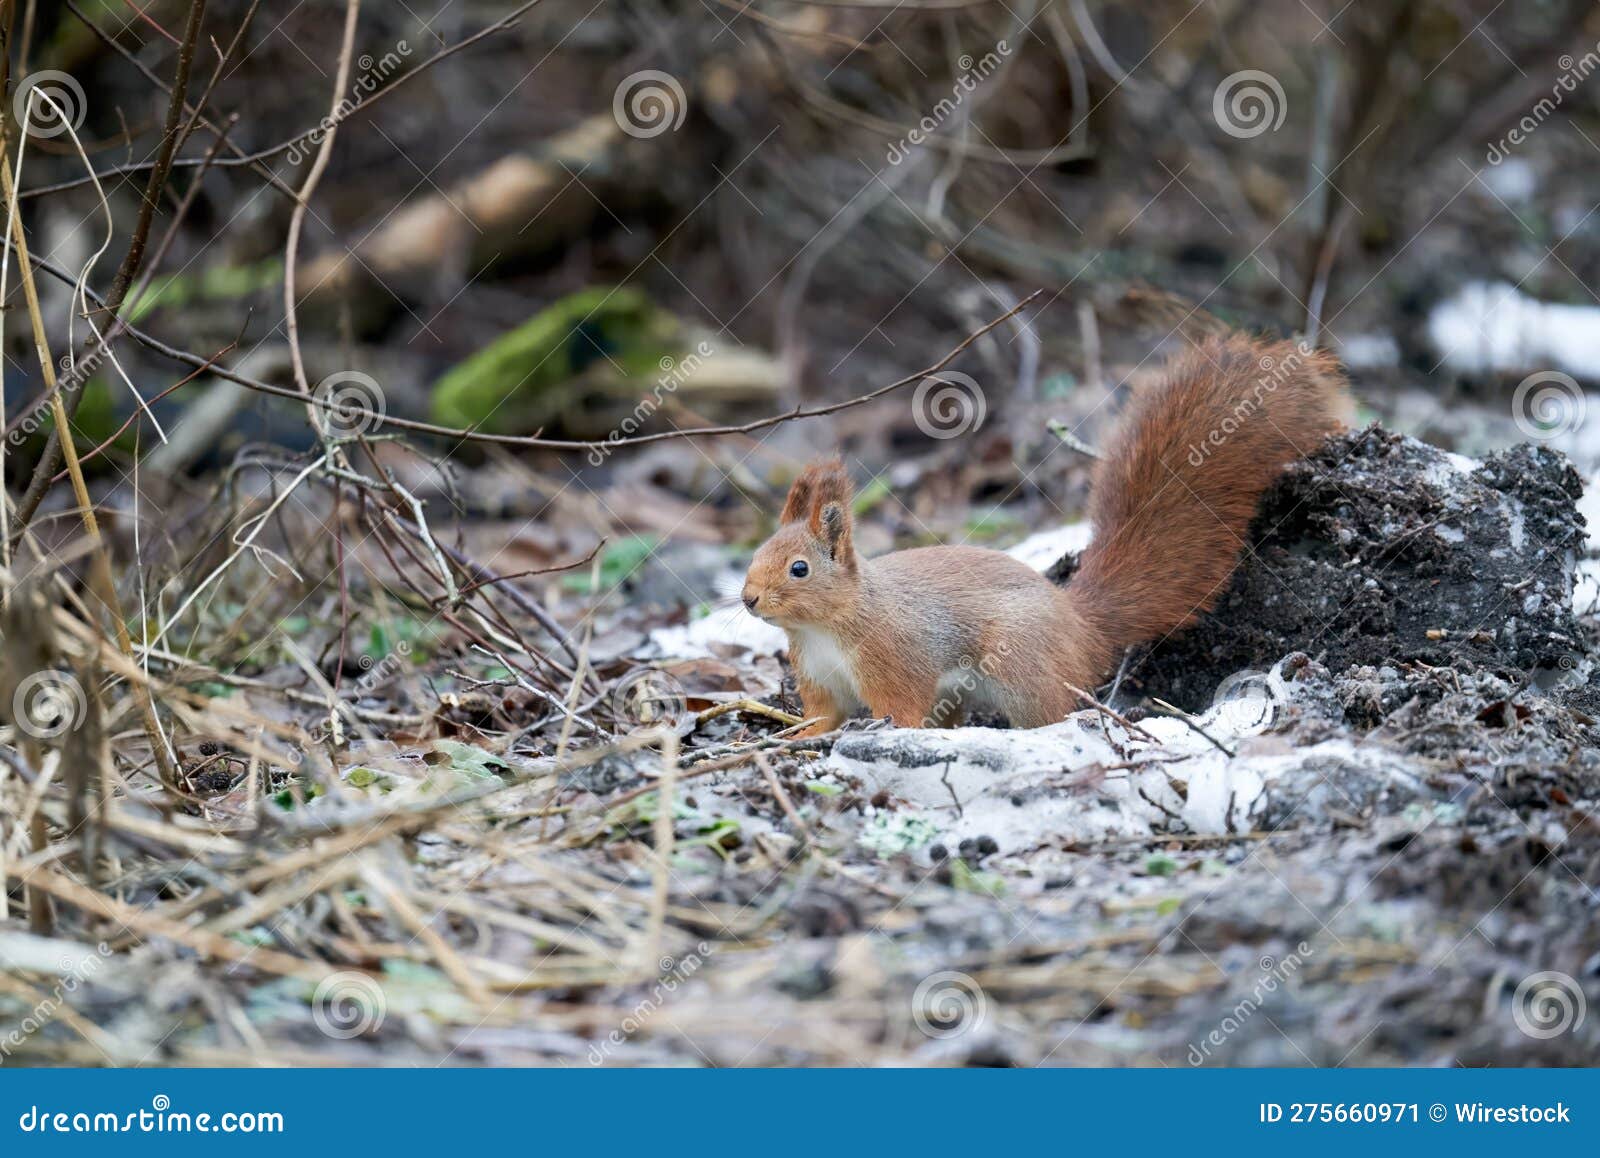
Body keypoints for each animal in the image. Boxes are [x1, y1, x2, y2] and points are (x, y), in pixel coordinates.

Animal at [740, 334, 1355, 737]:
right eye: (756, 554)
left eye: (799, 568)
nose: (747, 600)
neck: (827, 626)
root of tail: (1081, 627)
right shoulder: (818, 679)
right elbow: (823, 718)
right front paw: (798, 737)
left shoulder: (897, 659)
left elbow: (907, 707)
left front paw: (891, 732)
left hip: (1020, 666)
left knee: (1052, 710)